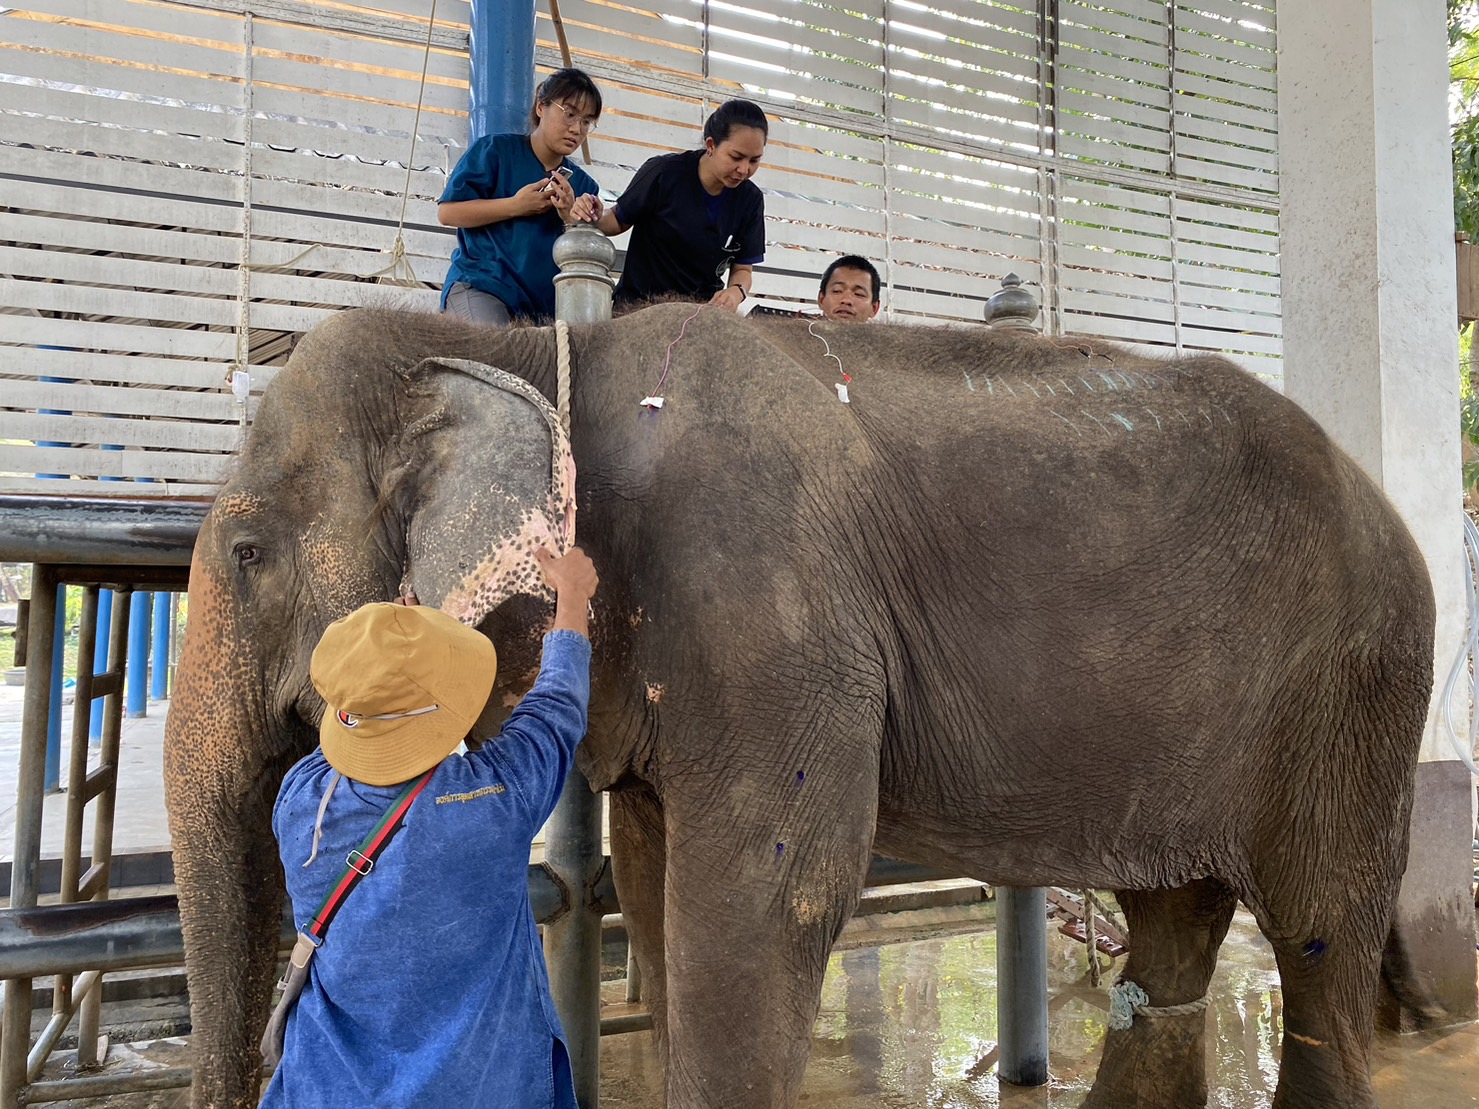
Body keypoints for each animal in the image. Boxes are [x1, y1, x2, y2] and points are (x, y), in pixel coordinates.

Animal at [163, 303, 1435, 1109]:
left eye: (247, 551)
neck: (516, 344)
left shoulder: (764, 608)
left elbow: (771, 894)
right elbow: (656, 877)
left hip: (1359, 687)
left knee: (1319, 936)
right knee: (1171, 931)